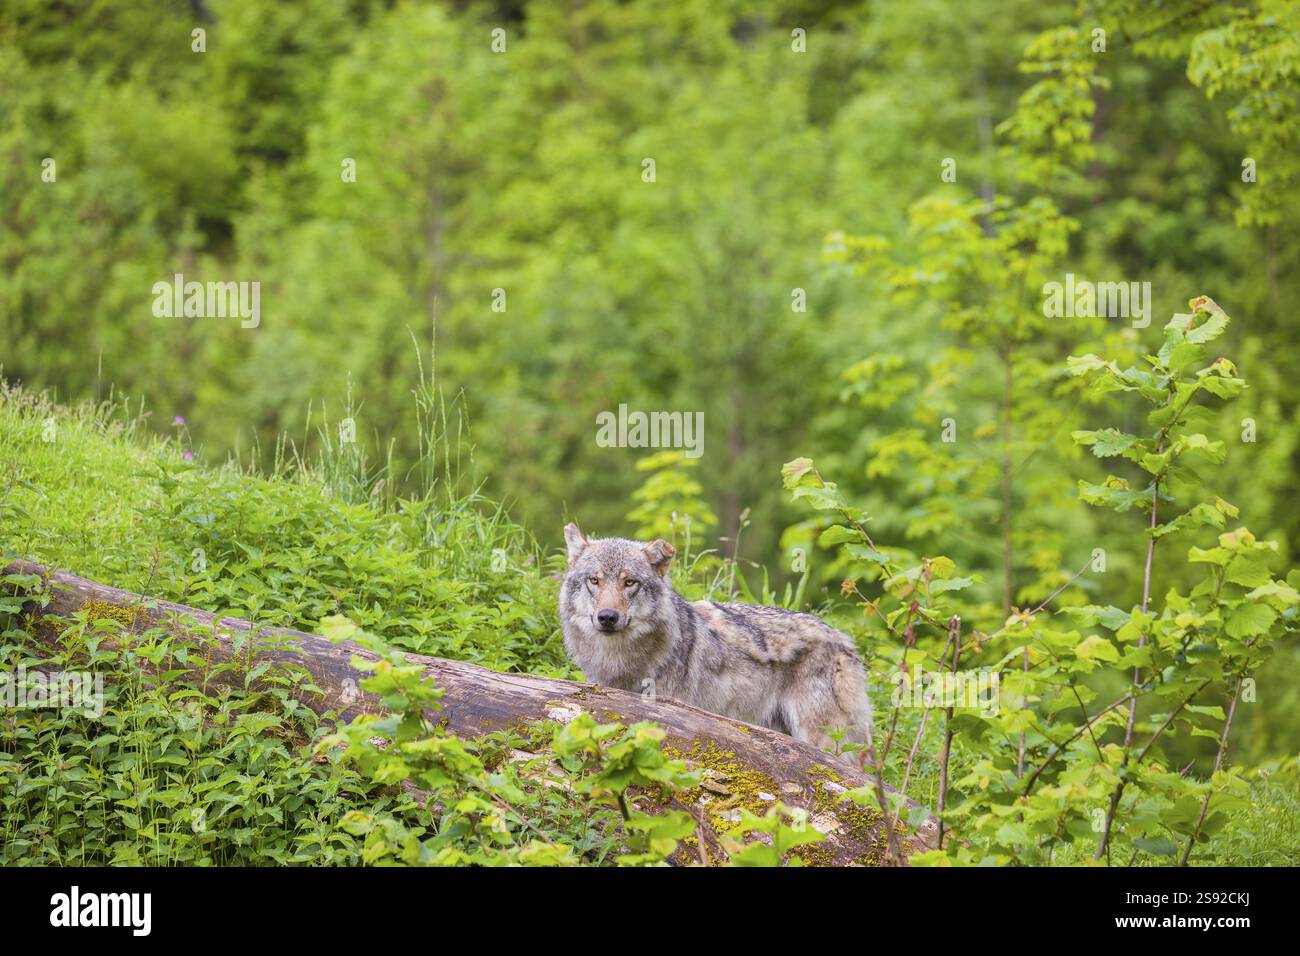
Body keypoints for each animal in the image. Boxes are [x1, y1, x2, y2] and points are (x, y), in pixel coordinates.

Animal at [558, 523, 872, 764]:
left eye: (630, 583)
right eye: (594, 580)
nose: (607, 617)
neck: (621, 659)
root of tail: (843, 639)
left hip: (823, 738)